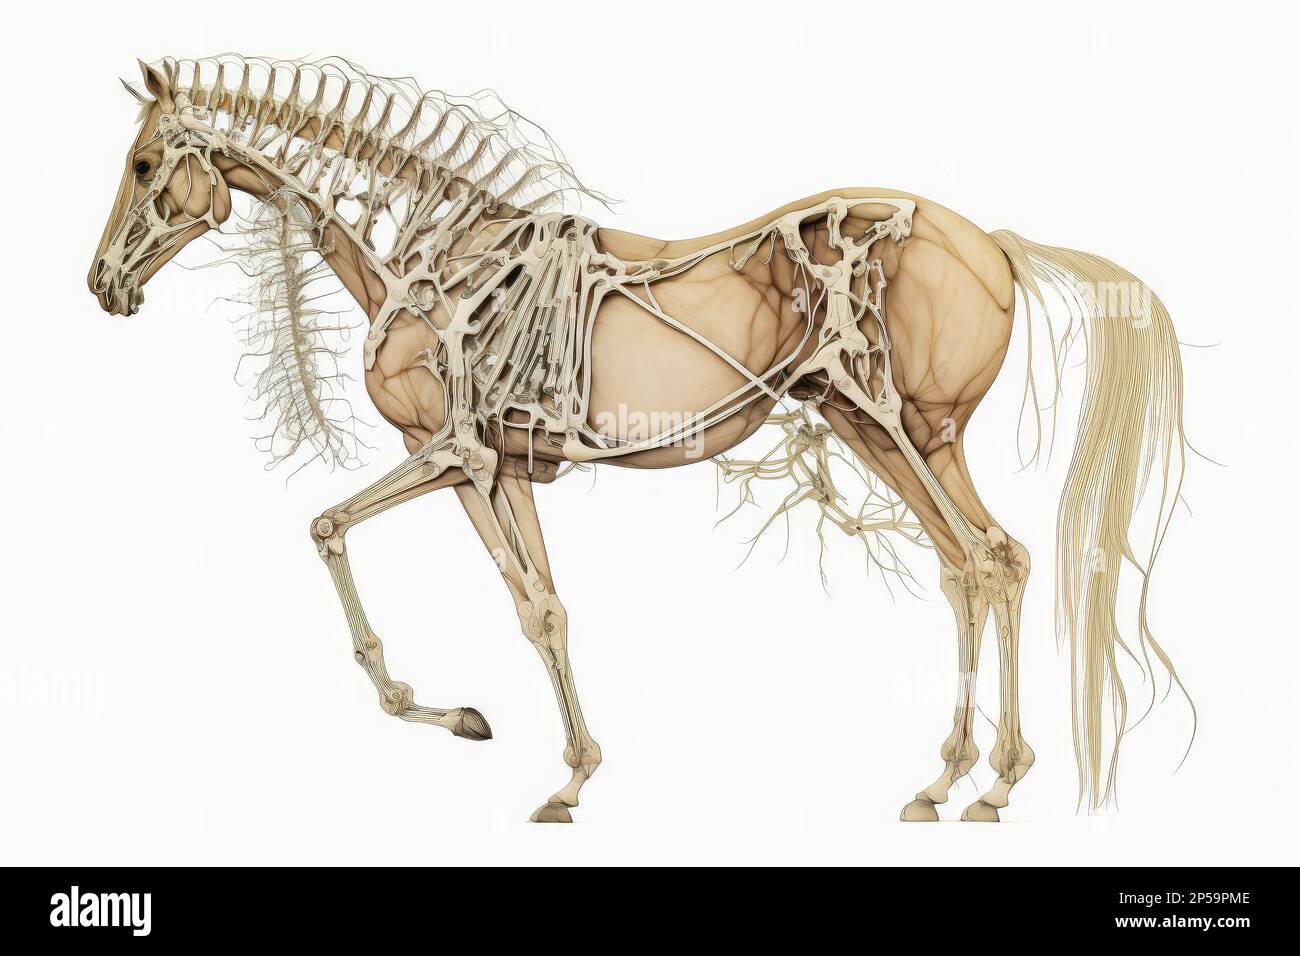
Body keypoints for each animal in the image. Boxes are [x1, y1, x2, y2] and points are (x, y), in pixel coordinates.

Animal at [88, 56, 1188, 823]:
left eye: (143, 163)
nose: (102, 285)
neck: (424, 264)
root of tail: (991, 247)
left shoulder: (455, 454)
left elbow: (335, 530)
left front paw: (504, 747)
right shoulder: (500, 467)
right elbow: (541, 608)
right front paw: (546, 761)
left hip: (895, 423)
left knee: (988, 557)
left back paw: (987, 784)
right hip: (886, 432)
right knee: (978, 563)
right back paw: (954, 782)